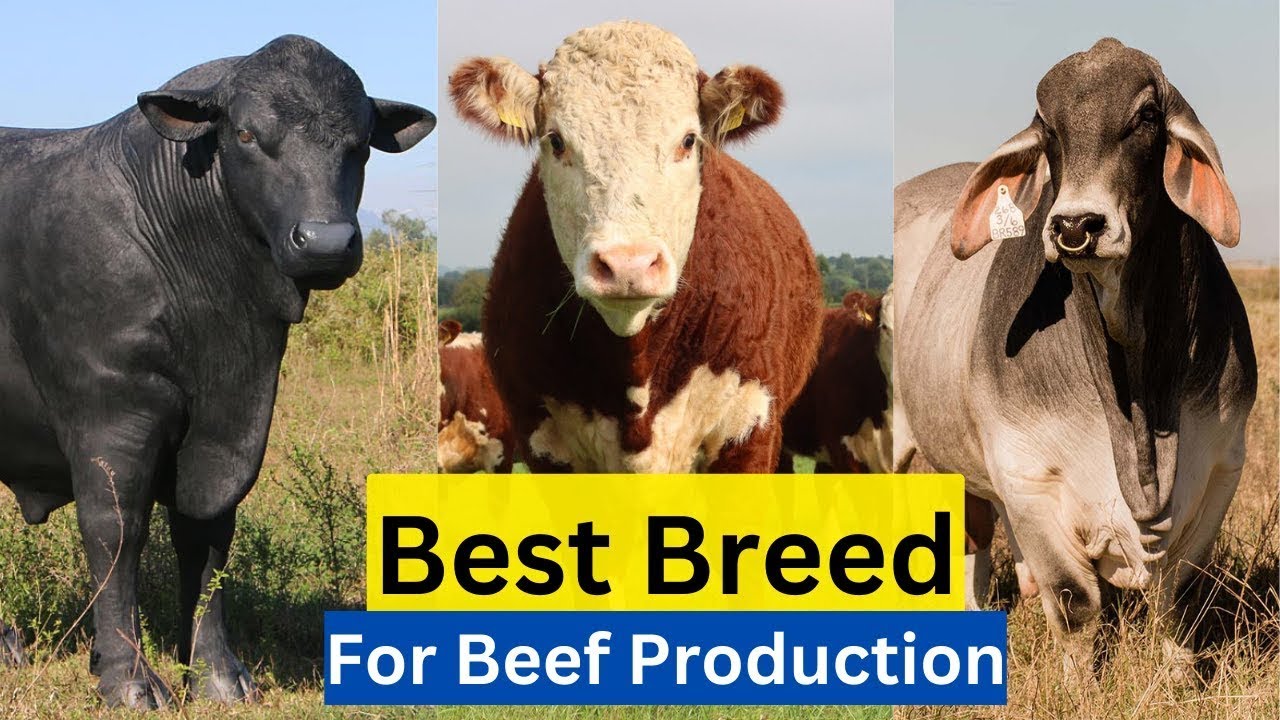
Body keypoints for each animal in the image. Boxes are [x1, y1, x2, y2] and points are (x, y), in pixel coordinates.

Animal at [0, 35, 434, 707]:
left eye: (361, 144)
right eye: (249, 134)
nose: (326, 241)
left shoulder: (230, 426)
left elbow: (206, 537)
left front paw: (218, 674)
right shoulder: (110, 412)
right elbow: (115, 532)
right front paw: (127, 679)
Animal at [894, 38, 1256, 680]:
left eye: (1145, 117)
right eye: (1048, 129)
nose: (1075, 225)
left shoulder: (1222, 465)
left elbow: (1179, 602)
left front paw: (1178, 680)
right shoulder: (1029, 479)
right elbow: (1074, 602)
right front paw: (1079, 683)